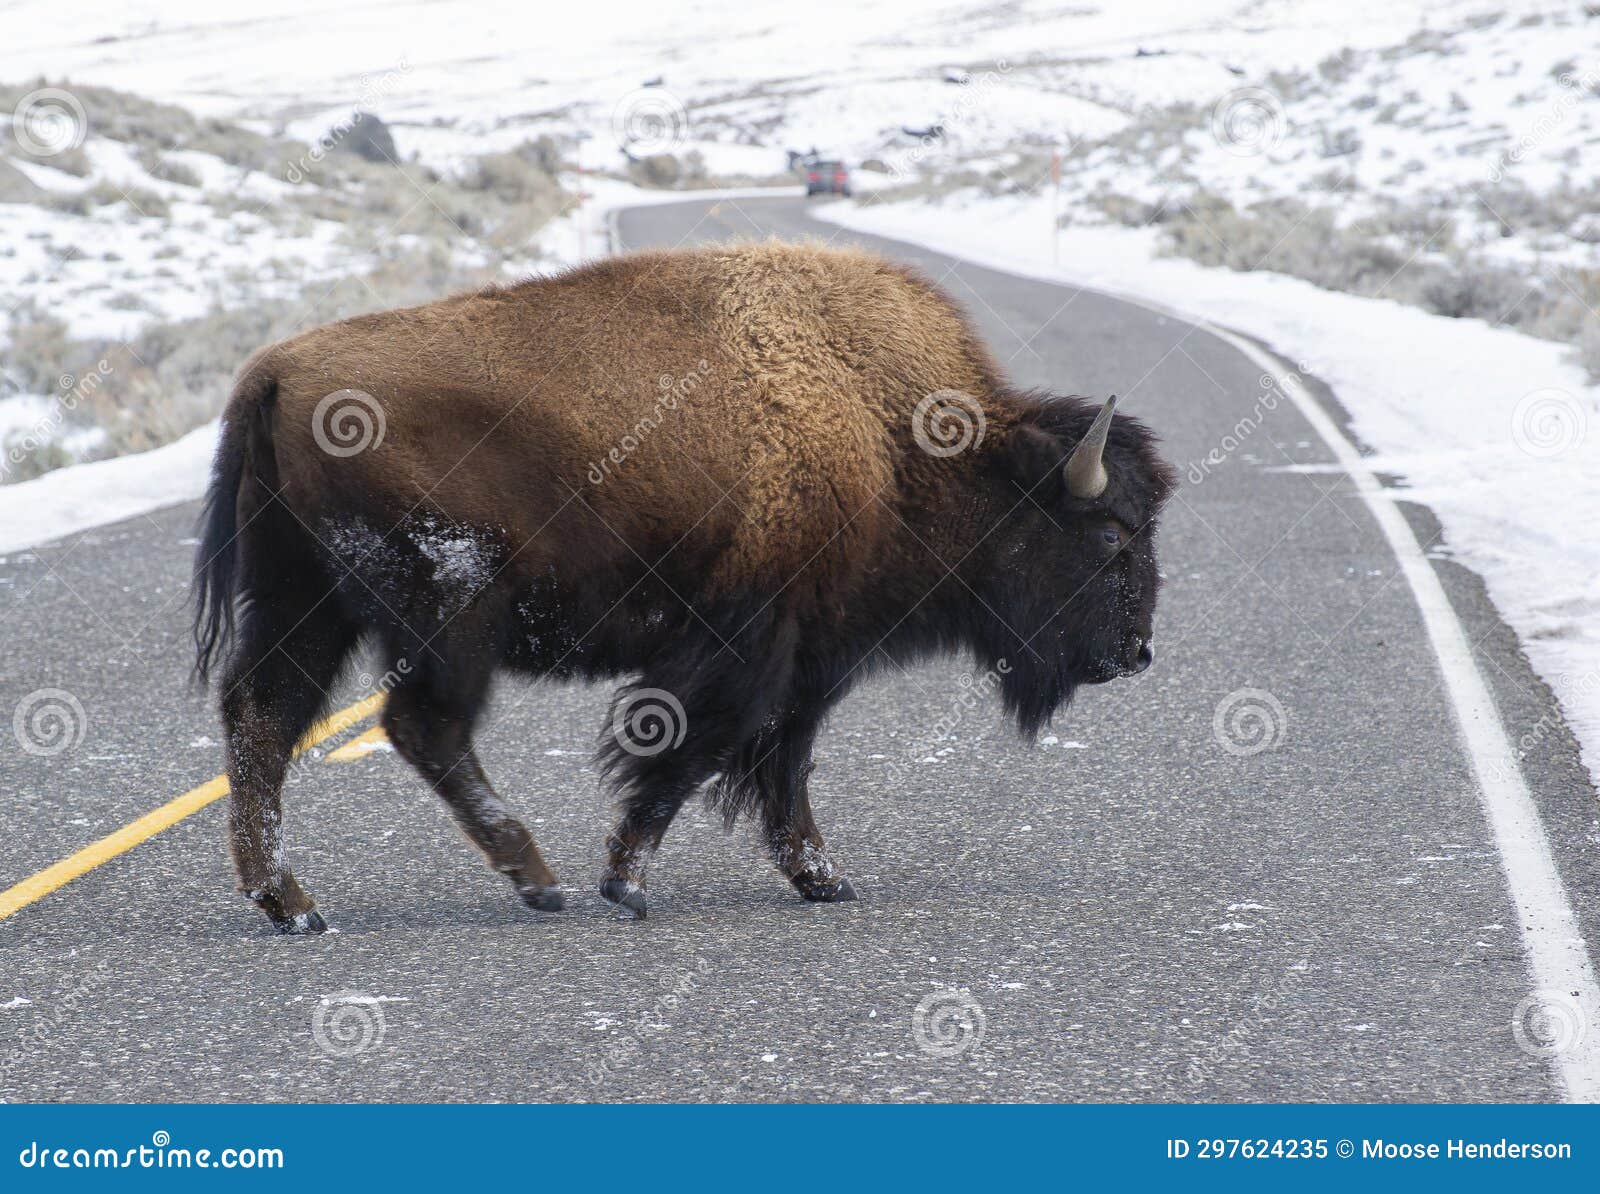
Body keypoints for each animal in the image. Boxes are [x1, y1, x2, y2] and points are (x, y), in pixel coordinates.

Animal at [192, 241, 1174, 931]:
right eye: (1110, 535)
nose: (1137, 652)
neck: (895, 433)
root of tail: (276, 374)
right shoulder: (757, 642)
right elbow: (706, 746)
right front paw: (626, 880)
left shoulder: (809, 657)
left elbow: (780, 764)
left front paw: (824, 880)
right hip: (450, 609)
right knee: (418, 724)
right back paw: (537, 882)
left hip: (305, 605)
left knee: (263, 717)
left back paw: (293, 906)